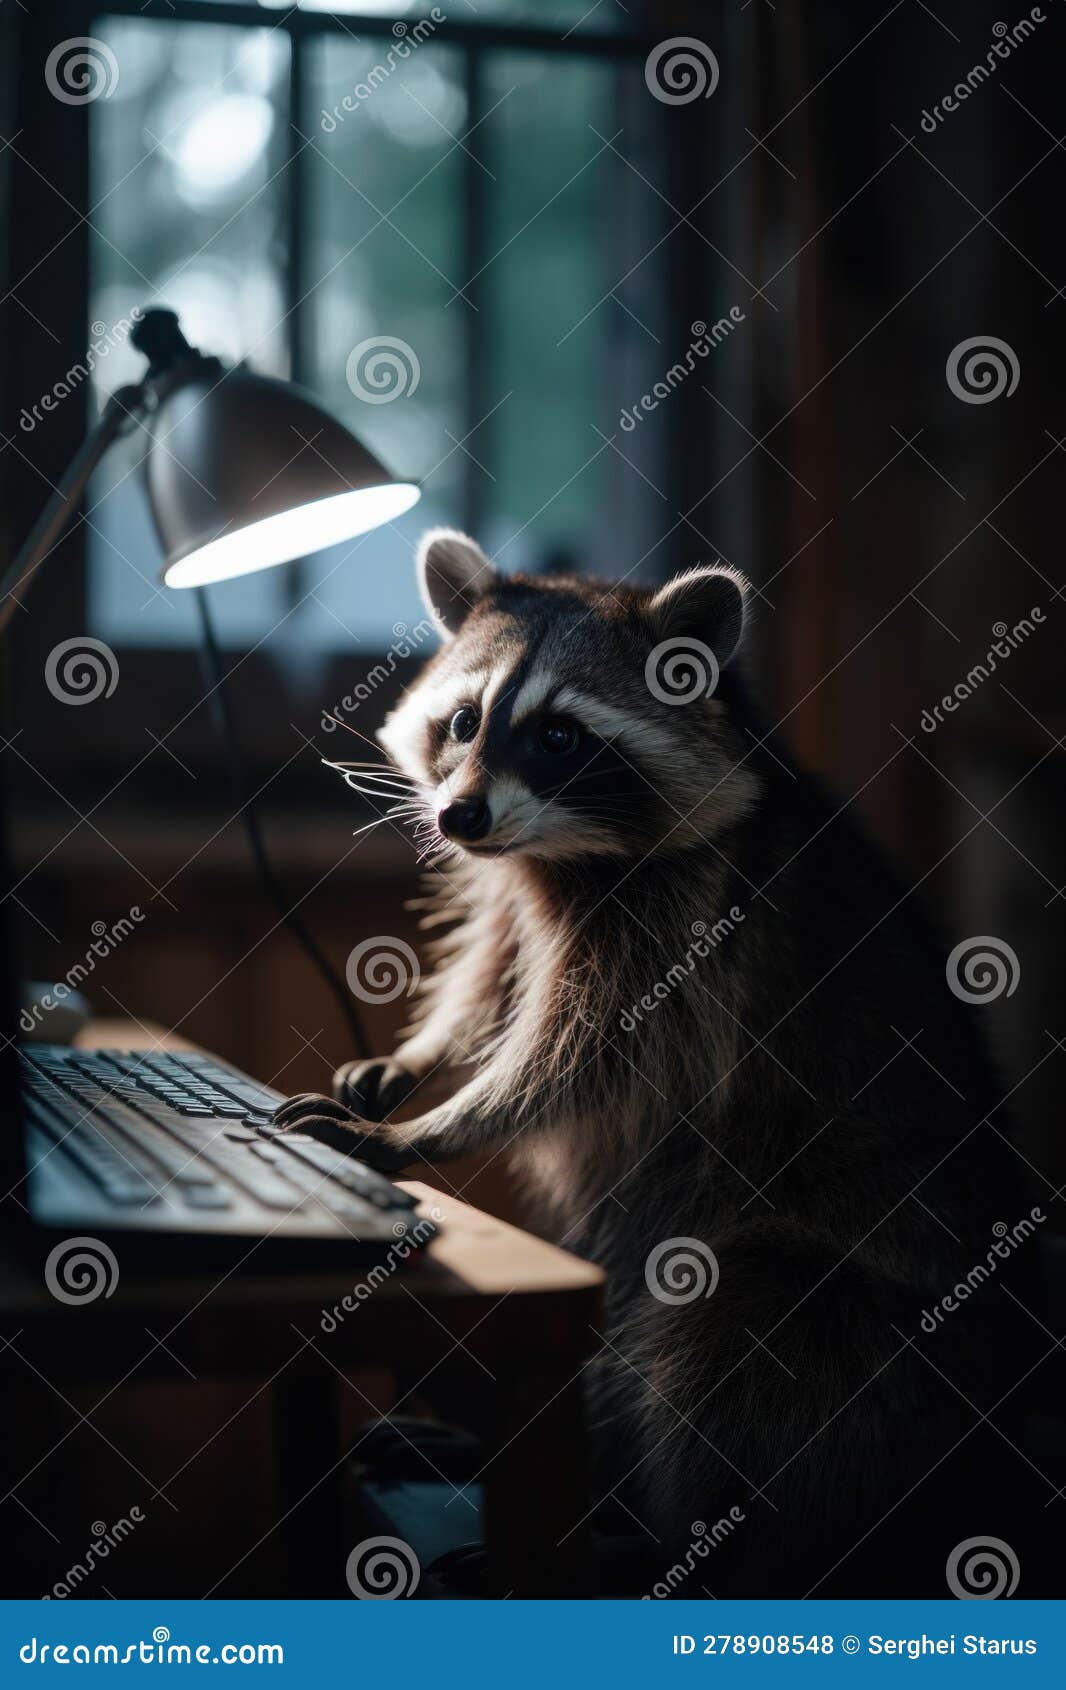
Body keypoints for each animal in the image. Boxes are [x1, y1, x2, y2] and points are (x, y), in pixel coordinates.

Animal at [277, 529, 1038, 1594]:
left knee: (741, 1330)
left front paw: (432, 1127)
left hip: (877, 1329)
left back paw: (668, 1540)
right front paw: (421, 1055)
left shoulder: (693, 921)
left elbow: (576, 1056)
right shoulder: (523, 888)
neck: (563, 850)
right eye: (463, 721)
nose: (460, 817)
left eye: (560, 736)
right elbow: (492, 979)